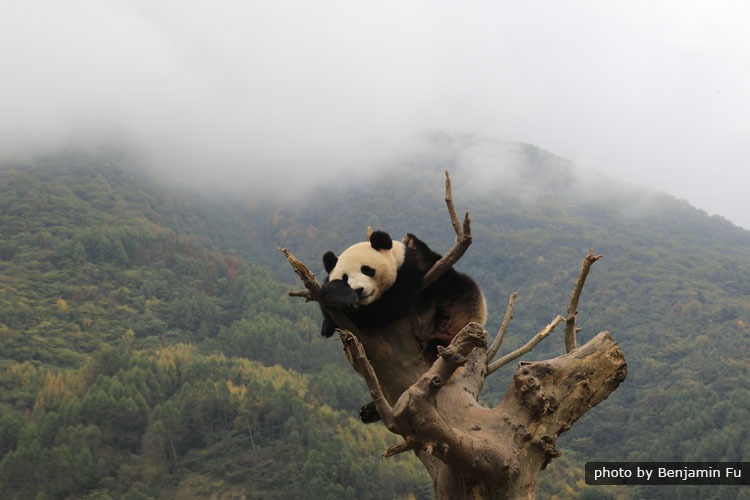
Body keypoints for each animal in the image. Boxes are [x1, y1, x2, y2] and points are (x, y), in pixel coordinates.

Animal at [319, 230, 487, 422]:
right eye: (345, 278)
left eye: (366, 269)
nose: (358, 291)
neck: (398, 257)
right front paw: (333, 307)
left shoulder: (415, 270)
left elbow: (385, 308)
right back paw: (370, 411)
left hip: (458, 310)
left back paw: (436, 347)